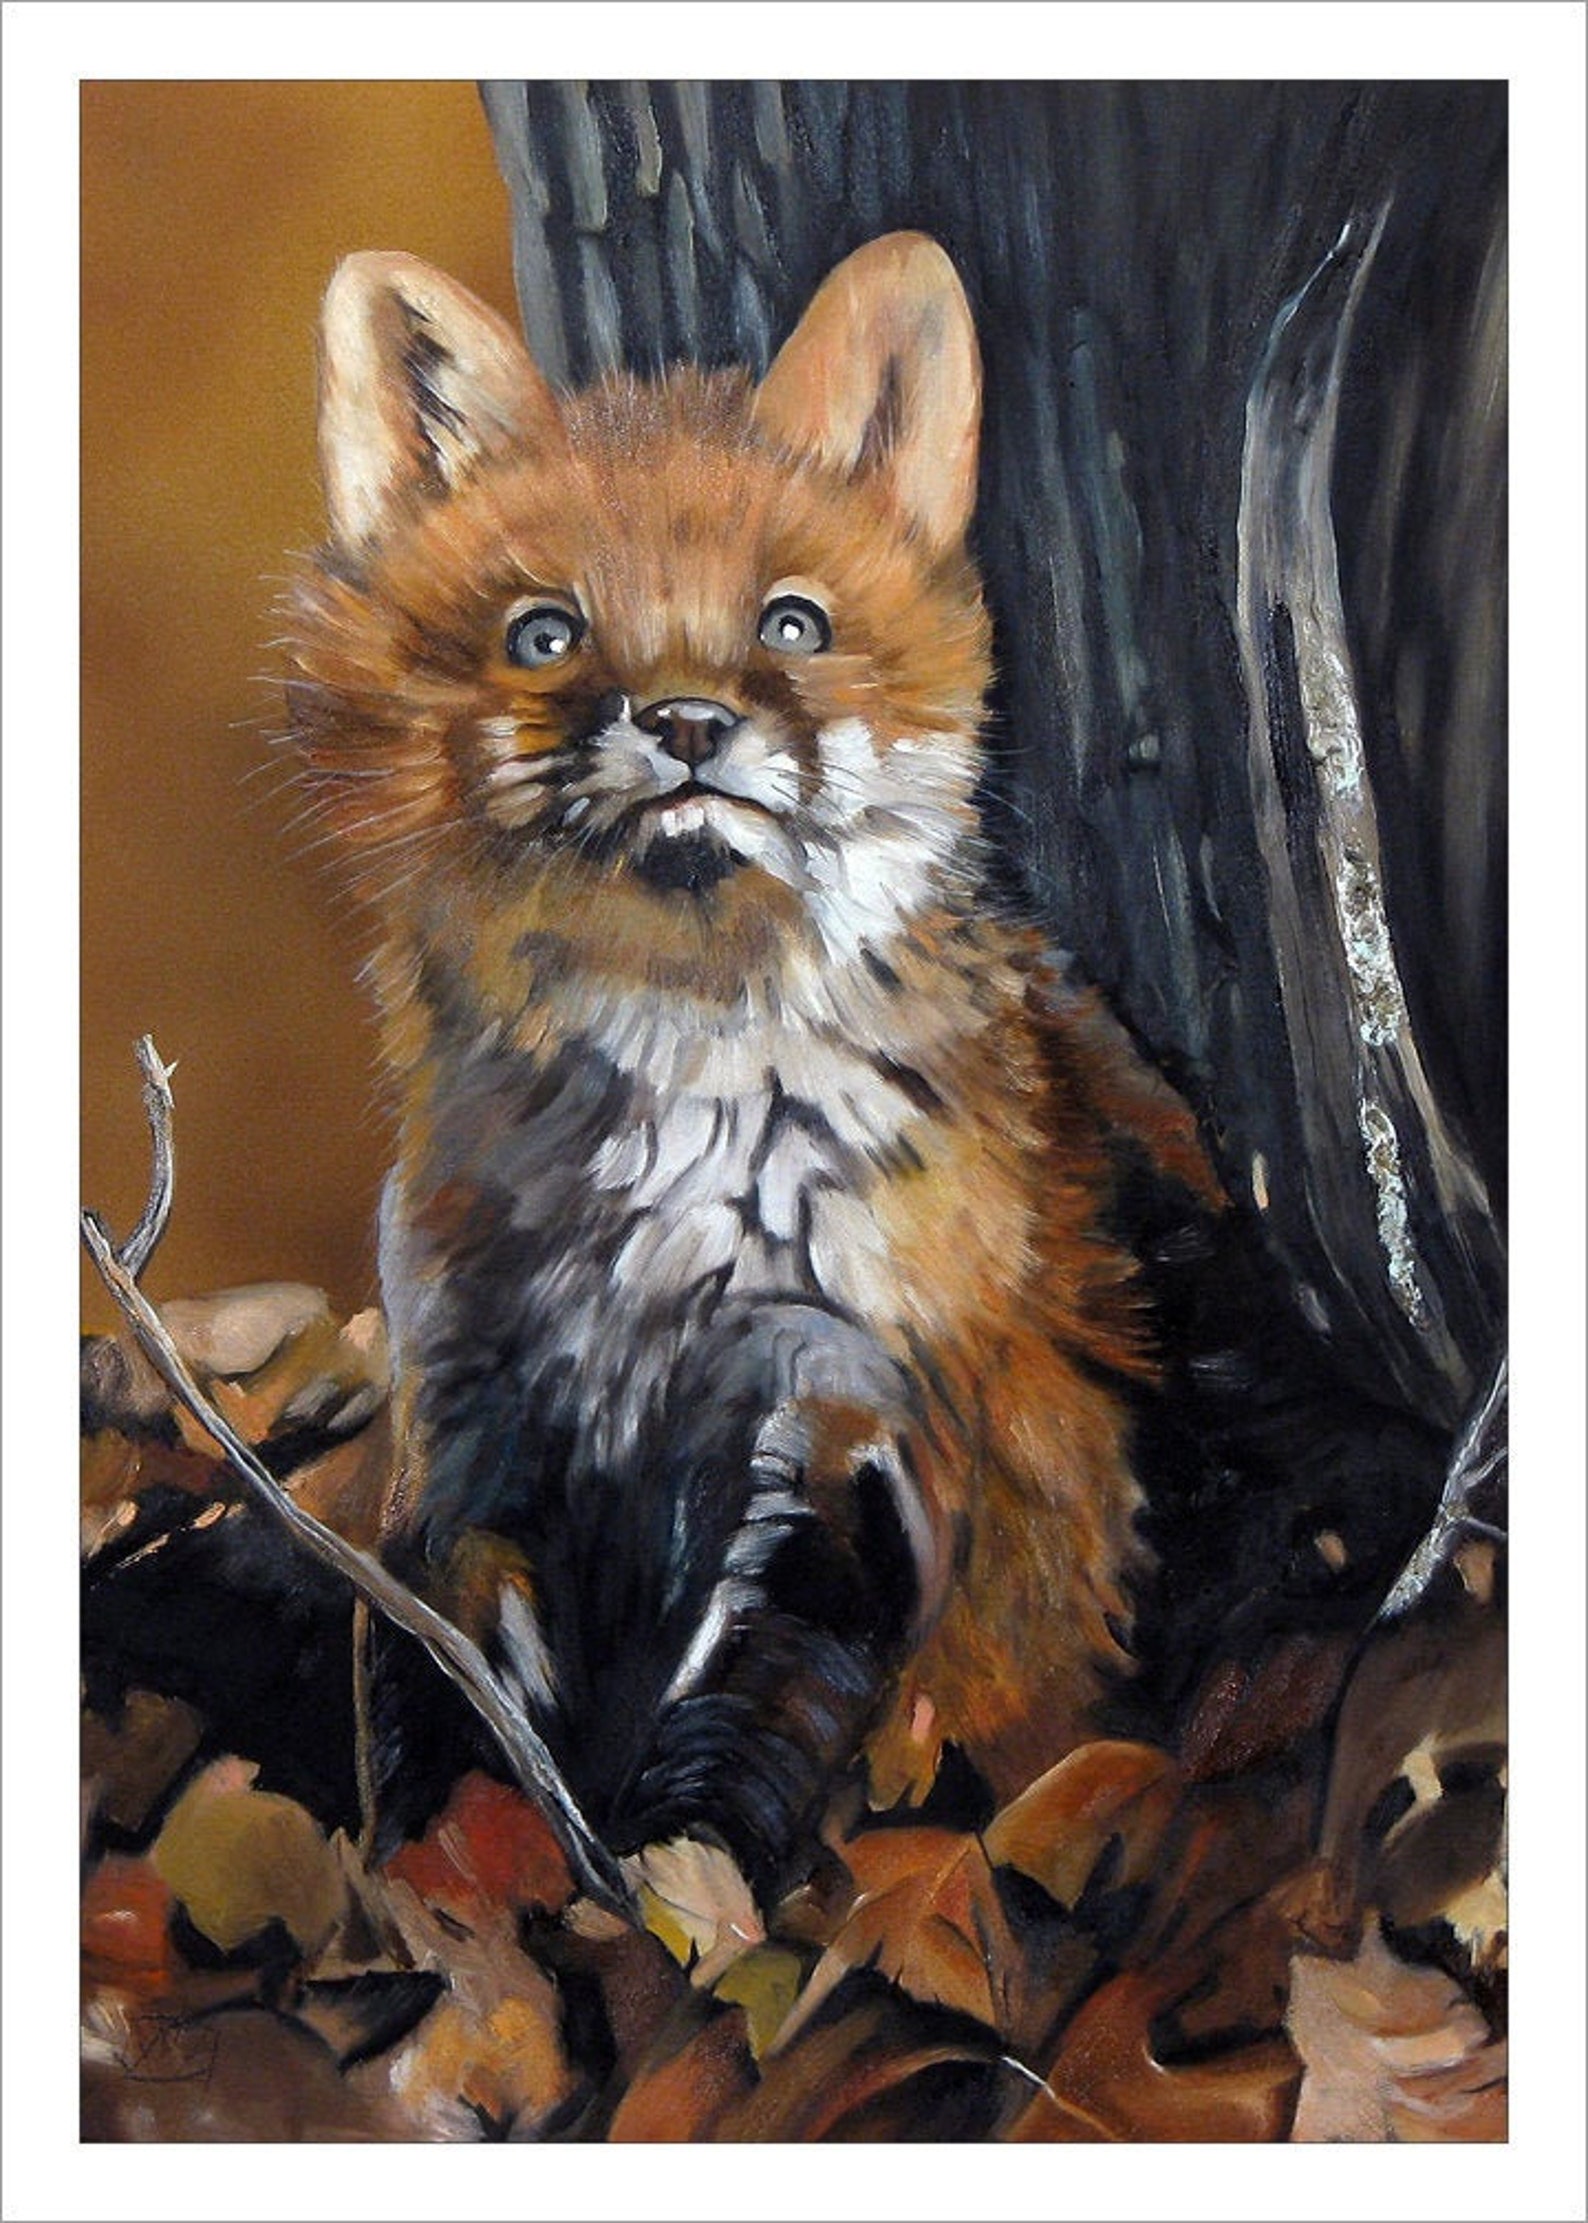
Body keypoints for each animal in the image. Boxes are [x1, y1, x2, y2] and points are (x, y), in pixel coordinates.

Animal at [284, 232, 1233, 1901]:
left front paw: (680, 1892)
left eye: (792, 622)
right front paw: (460, 1869)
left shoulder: (840, 1407)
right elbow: (447, 1683)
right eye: (545, 632)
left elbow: (755, 1717)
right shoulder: (475, 1415)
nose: (684, 721)